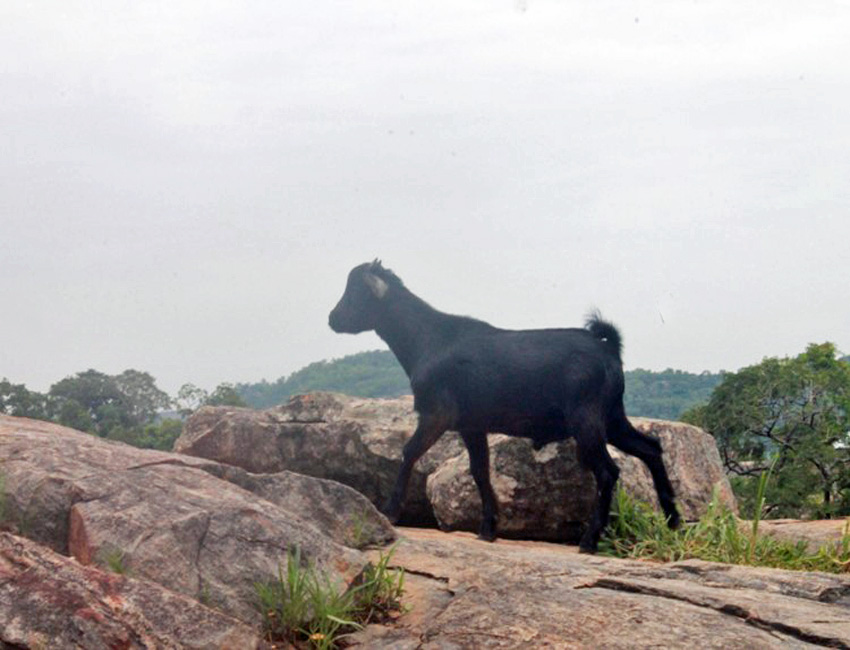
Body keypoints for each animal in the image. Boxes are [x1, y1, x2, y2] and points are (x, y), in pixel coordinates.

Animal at [328, 260, 680, 552]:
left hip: (586, 418)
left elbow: (410, 451)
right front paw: (488, 529)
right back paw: (673, 520)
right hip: (611, 417)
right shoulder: (472, 425)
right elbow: (479, 471)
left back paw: (590, 540)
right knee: (650, 448)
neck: (429, 339)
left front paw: (390, 512)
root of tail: (608, 350)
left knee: (608, 471)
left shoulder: (437, 413)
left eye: (355, 292)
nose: (332, 319)